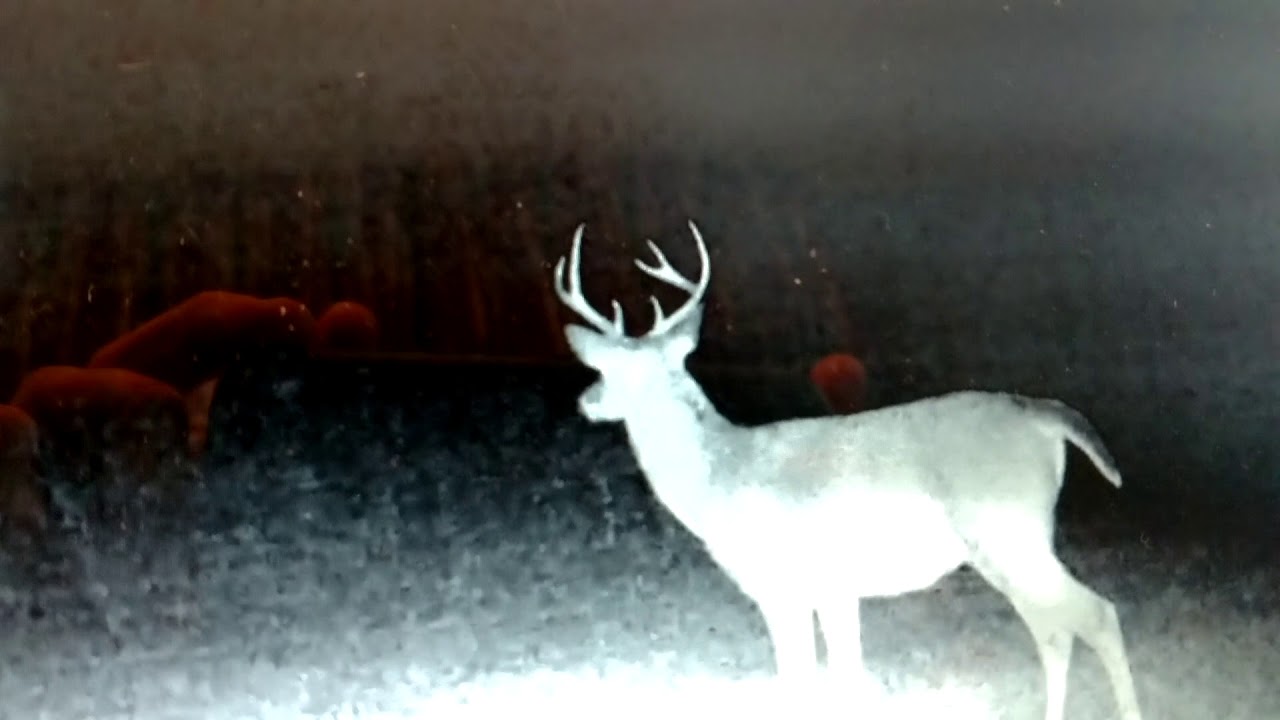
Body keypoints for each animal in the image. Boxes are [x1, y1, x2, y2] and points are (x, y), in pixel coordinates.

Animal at [552, 221, 1143, 720]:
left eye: (603, 369)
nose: (586, 400)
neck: (717, 479)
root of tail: (1044, 415)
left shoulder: (780, 584)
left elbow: (797, 681)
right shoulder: (834, 588)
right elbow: (844, 676)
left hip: (1008, 531)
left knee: (1096, 615)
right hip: (1008, 547)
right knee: (1055, 632)